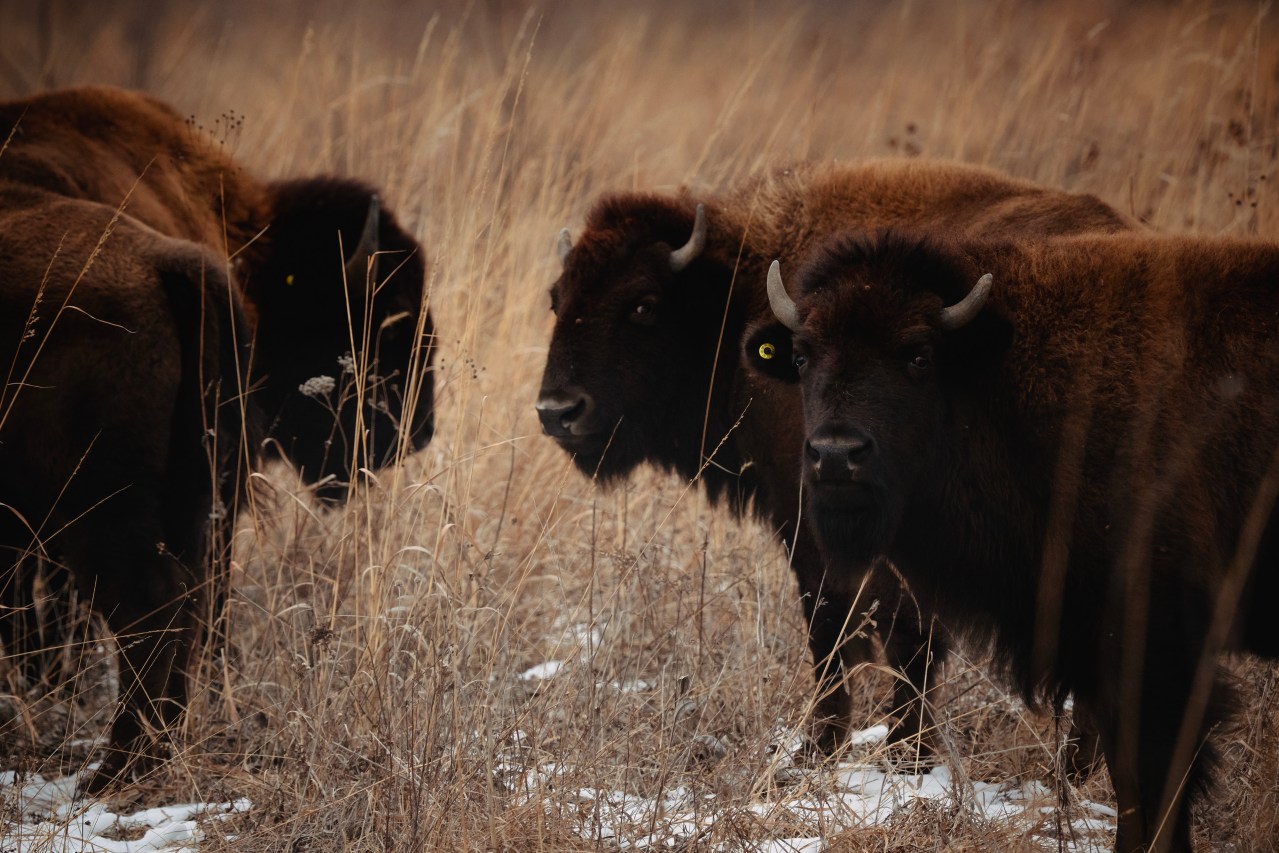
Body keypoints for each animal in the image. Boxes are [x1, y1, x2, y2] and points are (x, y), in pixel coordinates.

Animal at [0, 86, 435, 789]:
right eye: (382, 315)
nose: (418, 428)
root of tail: (169, 262)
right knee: (181, 600)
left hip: (101, 505)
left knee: (156, 602)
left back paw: (119, 768)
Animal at [537, 159, 1136, 754]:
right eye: (557, 299)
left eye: (643, 304)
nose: (558, 411)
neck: (736, 291)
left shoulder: (820, 525)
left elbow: (845, 630)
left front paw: (853, 748)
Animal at [758, 230, 1279, 853]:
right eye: (802, 355)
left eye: (918, 354)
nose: (836, 456)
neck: (998, 382)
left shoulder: (1156, 649)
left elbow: (1153, 788)